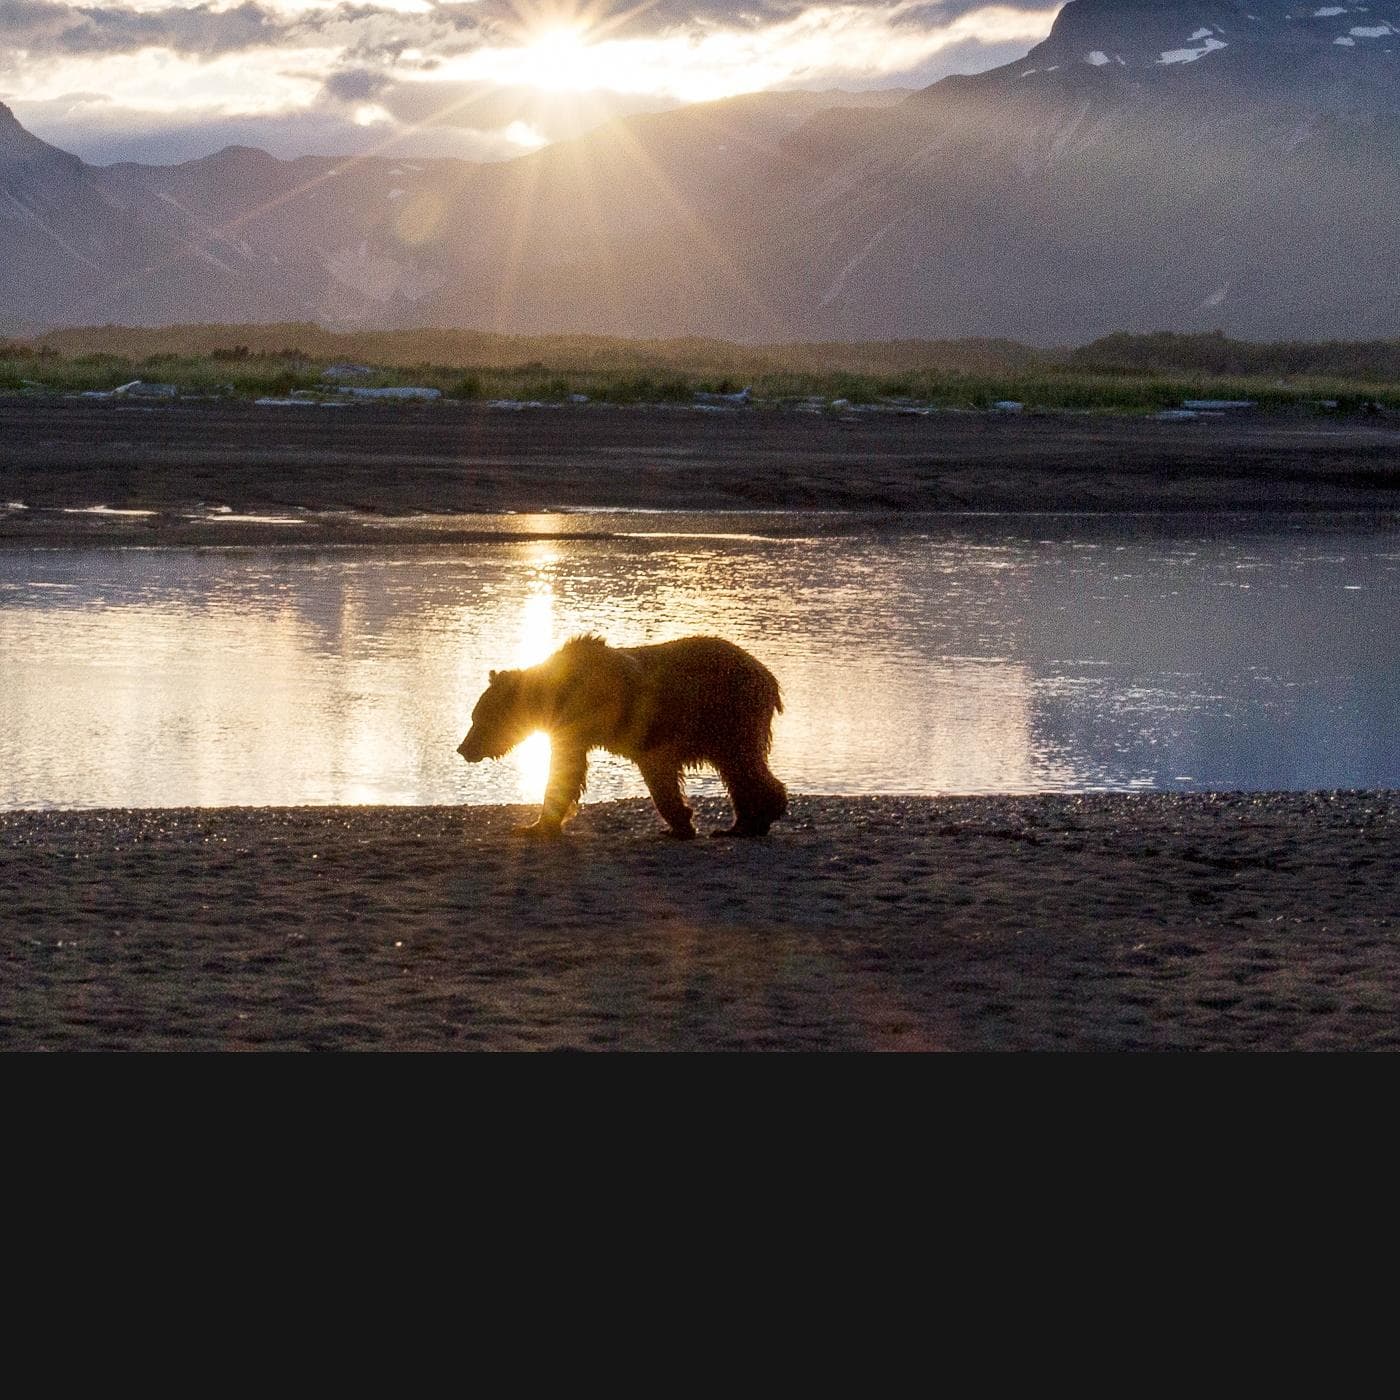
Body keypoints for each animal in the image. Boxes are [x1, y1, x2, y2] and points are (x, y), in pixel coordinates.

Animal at [457, 634, 787, 840]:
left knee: (742, 765)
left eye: (477, 718)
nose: (463, 748)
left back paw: (754, 821)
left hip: (729, 714)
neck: (555, 696)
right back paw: (743, 823)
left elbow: (568, 769)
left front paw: (535, 826)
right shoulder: (580, 731)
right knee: (736, 770)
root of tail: (769, 677)